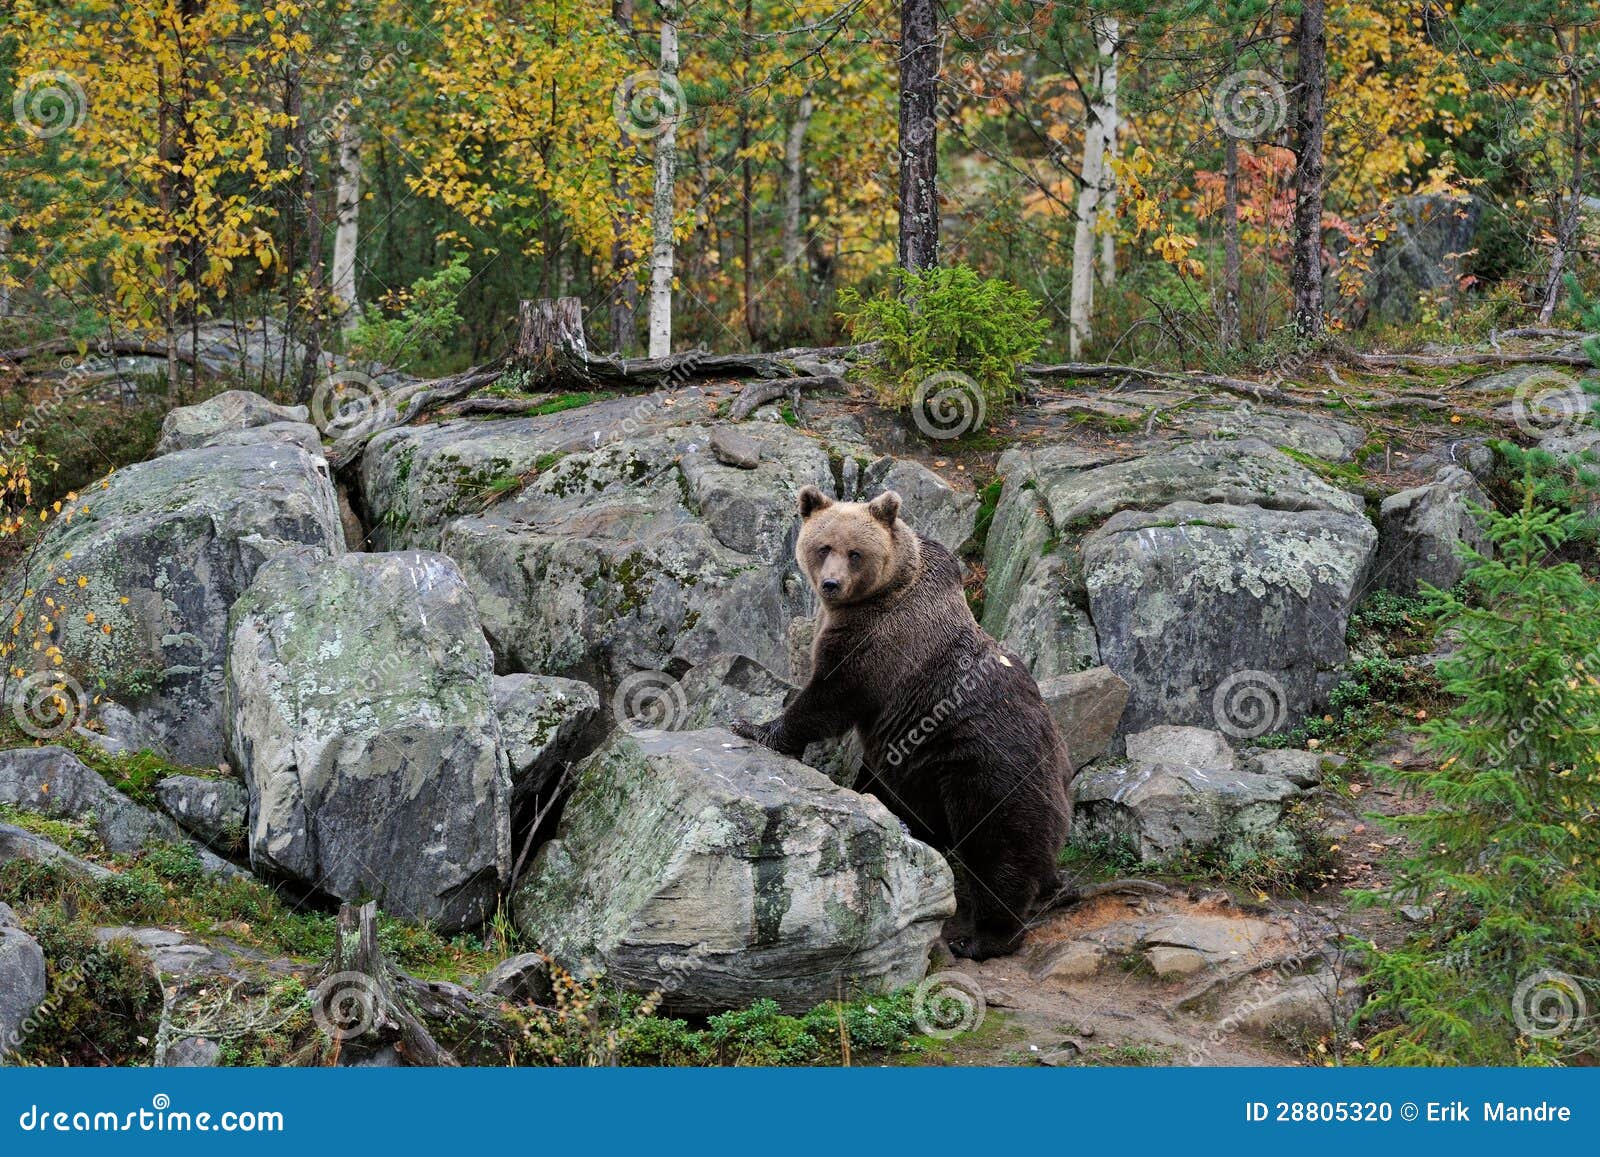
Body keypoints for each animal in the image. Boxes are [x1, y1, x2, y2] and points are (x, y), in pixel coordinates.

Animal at [731, 485, 1074, 960]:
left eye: (854, 552)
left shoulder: (880, 646)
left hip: (987, 771)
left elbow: (828, 697)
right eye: (823, 547)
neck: (881, 592)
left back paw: (981, 938)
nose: (831, 584)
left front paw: (757, 727)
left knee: (998, 851)